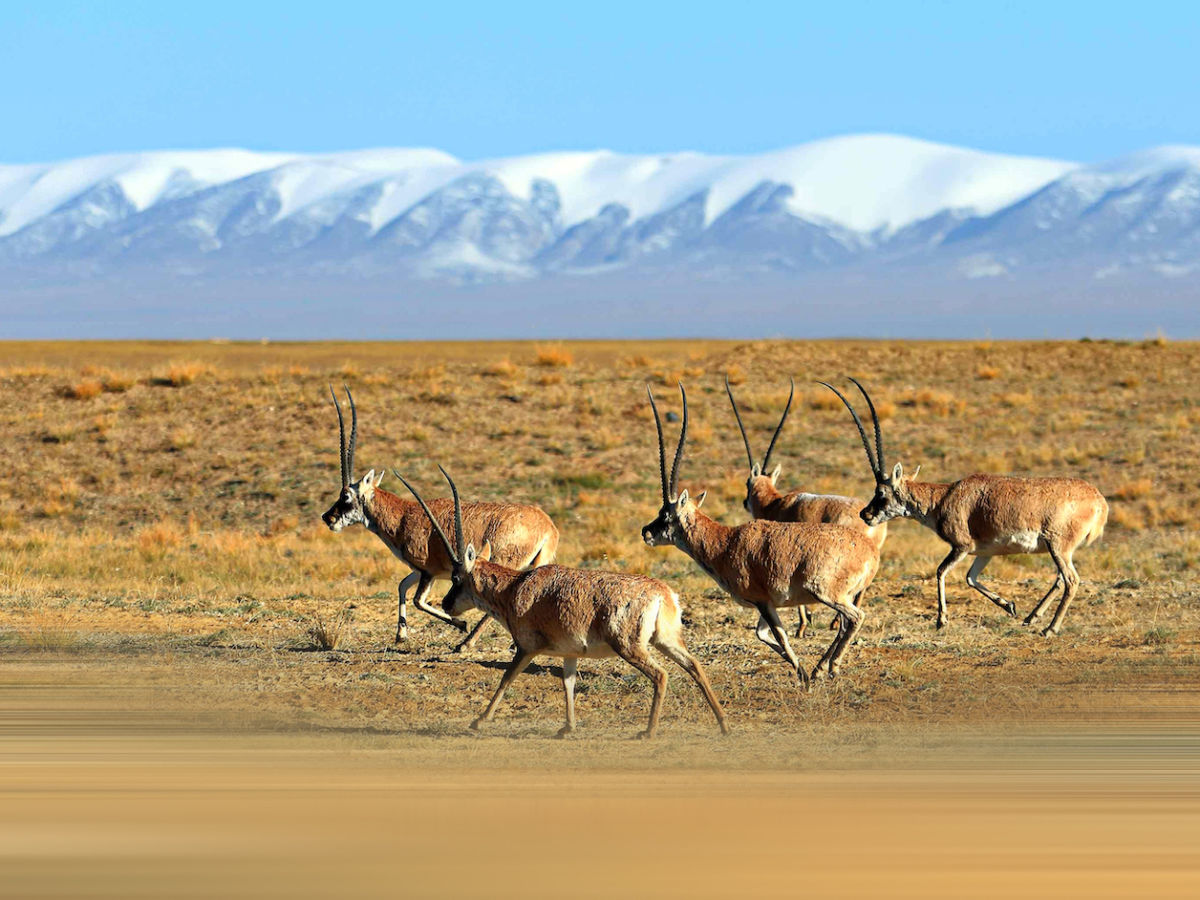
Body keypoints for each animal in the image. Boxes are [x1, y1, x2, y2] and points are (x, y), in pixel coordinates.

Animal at [320, 386, 559, 650]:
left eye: (346, 495)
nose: (328, 518)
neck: (404, 514)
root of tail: (547, 527)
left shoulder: (429, 572)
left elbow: (418, 601)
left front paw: (459, 624)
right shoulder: (421, 570)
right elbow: (402, 586)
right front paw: (401, 634)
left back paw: (467, 642)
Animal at [395, 466, 728, 739]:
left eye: (456, 578)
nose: (447, 604)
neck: (515, 587)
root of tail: (663, 594)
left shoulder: (527, 648)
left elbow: (506, 678)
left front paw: (478, 721)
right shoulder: (570, 653)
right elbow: (568, 683)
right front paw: (567, 728)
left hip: (630, 647)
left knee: (661, 675)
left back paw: (648, 732)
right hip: (666, 640)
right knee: (695, 665)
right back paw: (723, 724)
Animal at [822, 377, 1108, 635]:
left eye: (881, 492)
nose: (865, 514)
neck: (944, 497)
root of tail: (1099, 502)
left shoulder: (961, 546)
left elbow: (940, 571)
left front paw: (941, 621)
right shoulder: (984, 551)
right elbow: (971, 578)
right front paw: (1009, 606)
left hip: (1058, 546)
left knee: (1071, 580)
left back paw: (1050, 628)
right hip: (1059, 549)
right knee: (1061, 579)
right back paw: (1032, 617)